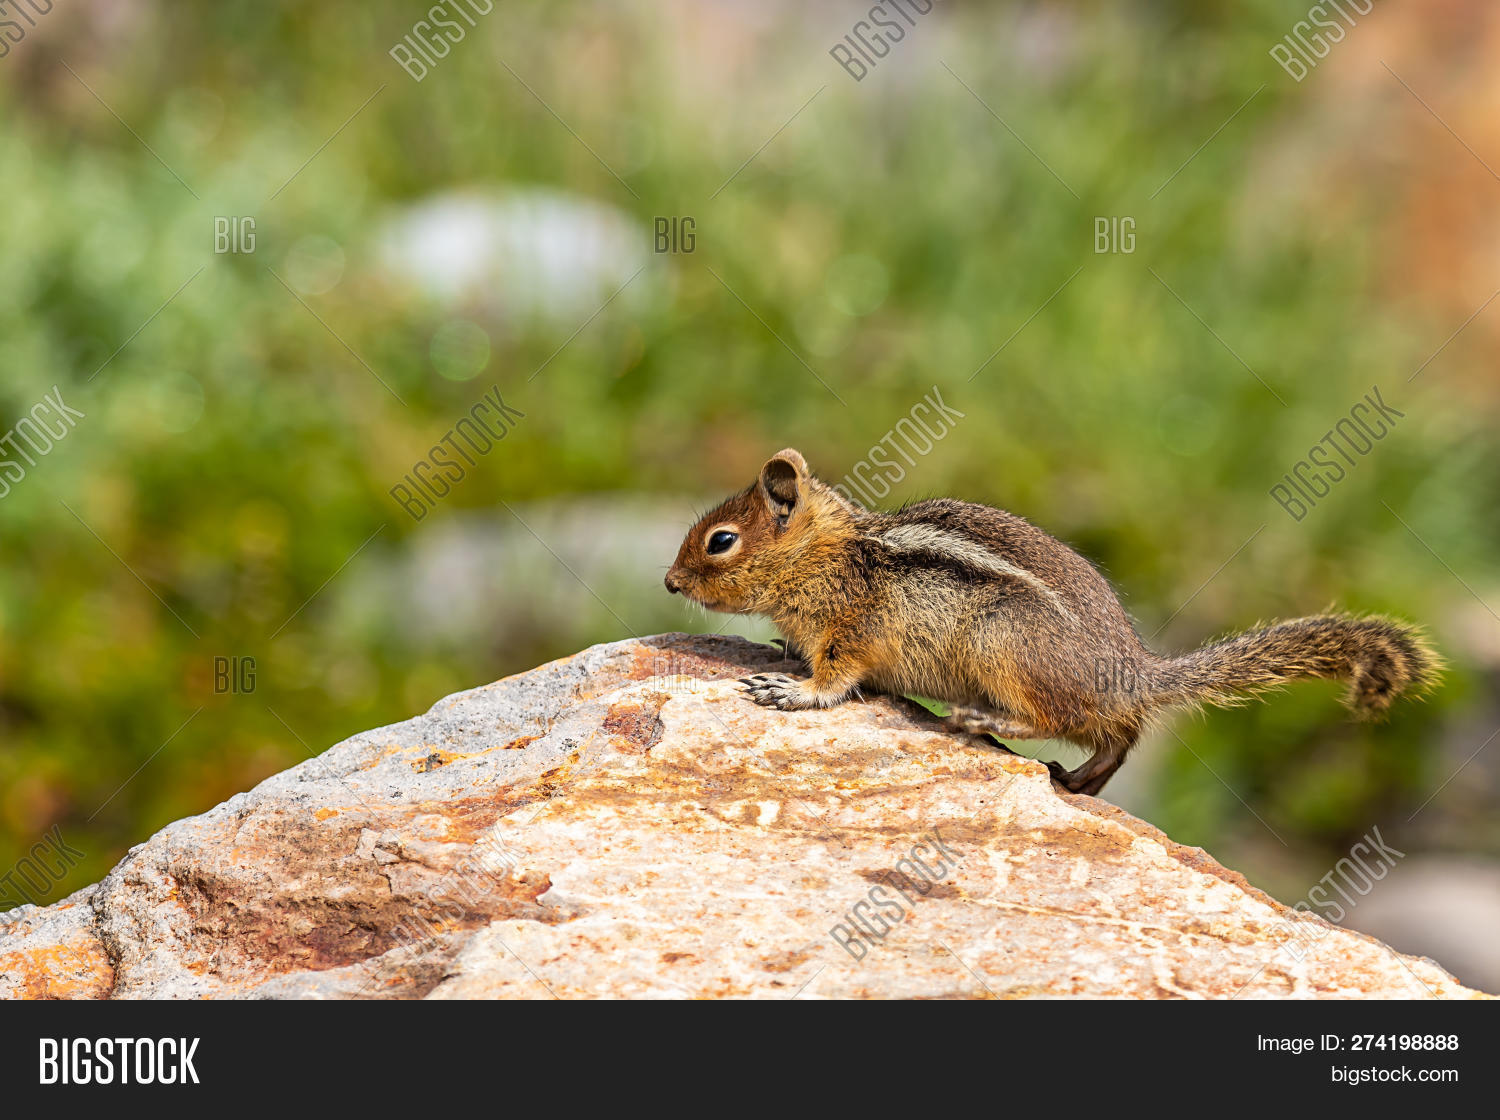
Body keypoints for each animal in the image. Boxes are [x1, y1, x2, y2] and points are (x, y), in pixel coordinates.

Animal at [664, 448, 1440, 796]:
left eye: (720, 542)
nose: (668, 582)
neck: (830, 552)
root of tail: (1134, 672)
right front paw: (779, 651)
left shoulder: (854, 630)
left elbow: (835, 680)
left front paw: (790, 690)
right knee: (1119, 738)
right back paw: (1082, 782)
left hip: (1002, 648)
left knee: (1056, 719)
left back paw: (986, 721)